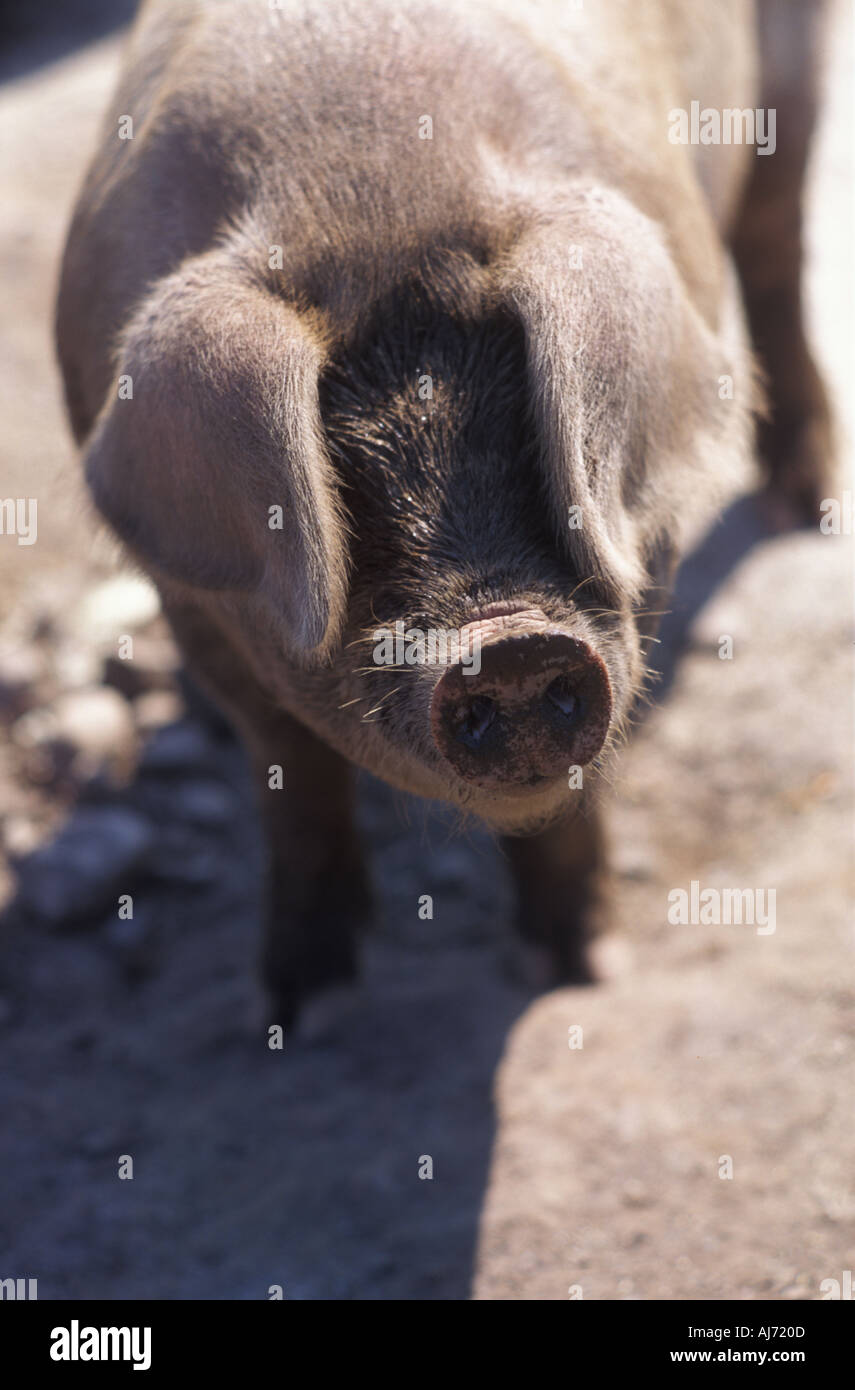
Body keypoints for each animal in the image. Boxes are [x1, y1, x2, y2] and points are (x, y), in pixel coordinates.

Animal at [56, 0, 832, 1027]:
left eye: (531, 448)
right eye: (348, 491)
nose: (510, 643)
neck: (364, 193)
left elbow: (565, 812)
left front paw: (580, 972)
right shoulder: (187, 599)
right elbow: (291, 779)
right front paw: (301, 1003)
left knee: (776, 243)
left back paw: (805, 508)